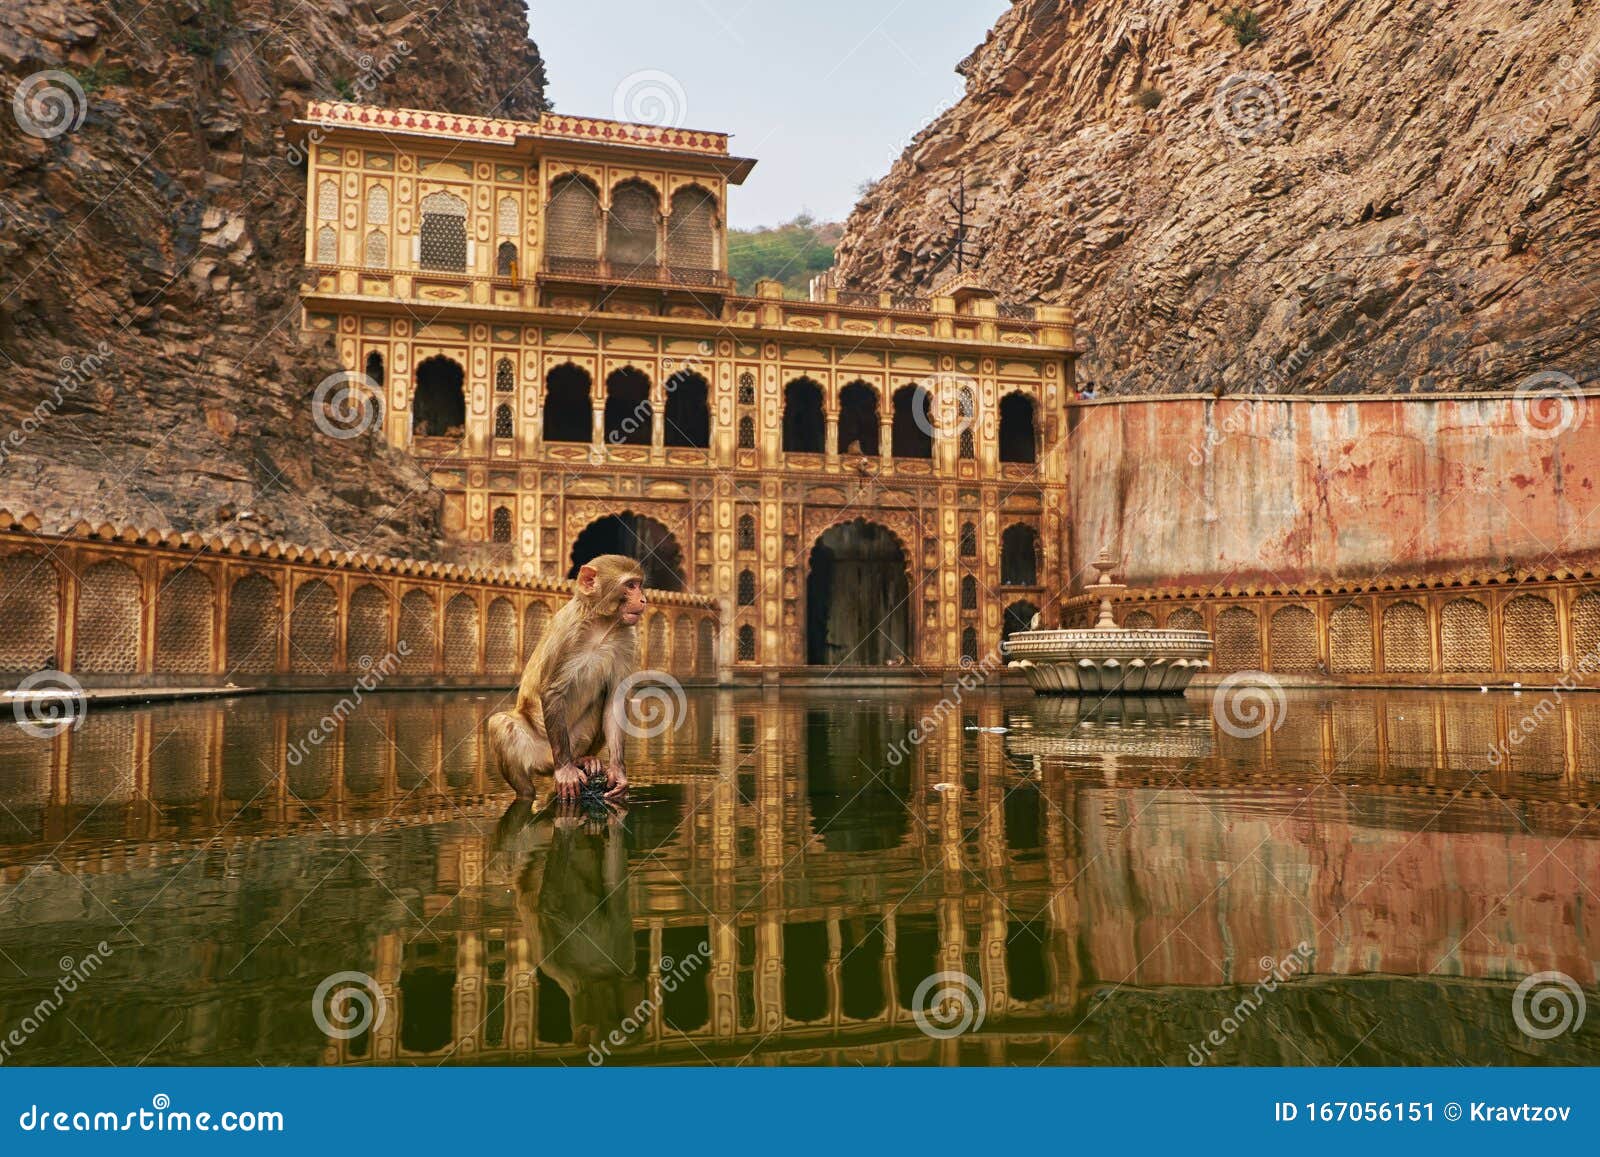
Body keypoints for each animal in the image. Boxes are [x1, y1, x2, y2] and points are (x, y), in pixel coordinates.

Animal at [486, 554, 646, 803]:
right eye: (630, 585)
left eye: (639, 585)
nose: (643, 599)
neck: (602, 625)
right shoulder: (566, 632)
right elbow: (552, 691)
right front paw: (566, 772)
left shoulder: (628, 640)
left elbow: (614, 700)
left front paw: (618, 772)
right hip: (544, 752)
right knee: (500, 723)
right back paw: (535, 788)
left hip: (575, 741)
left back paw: (583, 760)